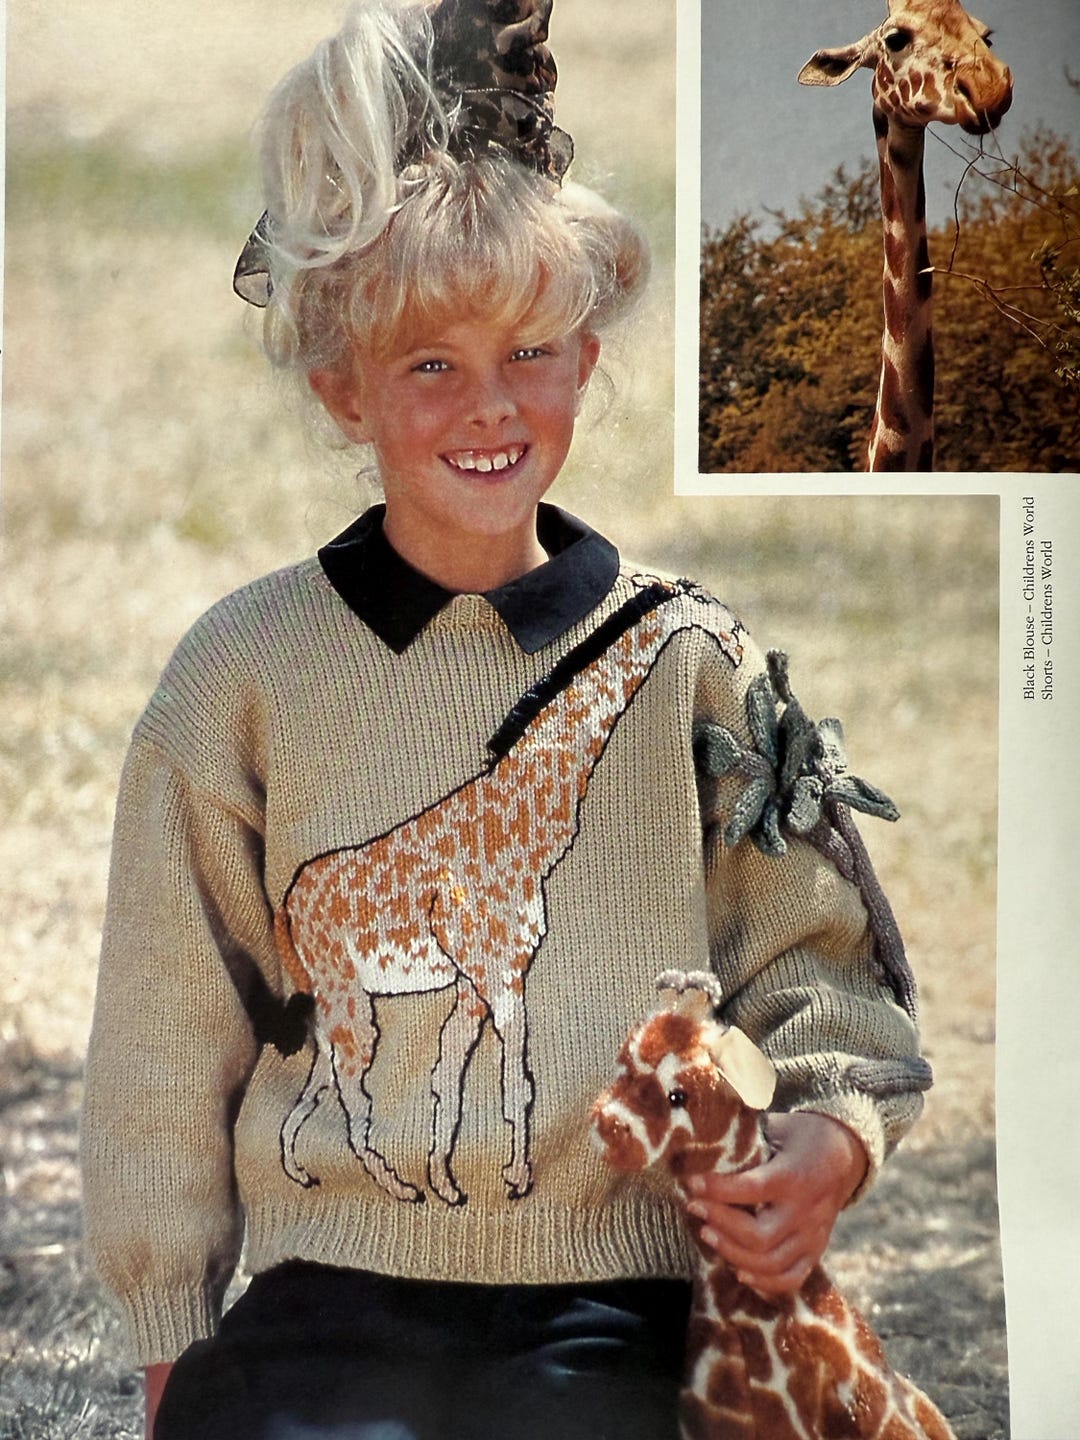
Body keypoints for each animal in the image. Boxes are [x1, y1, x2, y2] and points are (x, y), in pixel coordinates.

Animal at [274, 581, 745, 1208]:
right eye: (721, 617)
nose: (738, 651)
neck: (526, 831)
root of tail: (290, 901)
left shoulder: (478, 980)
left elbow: (448, 1080)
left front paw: (449, 1183)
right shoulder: (499, 971)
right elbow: (515, 1083)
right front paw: (514, 1179)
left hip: (335, 999)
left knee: (320, 1077)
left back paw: (304, 1170)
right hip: (345, 990)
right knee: (352, 1086)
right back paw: (395, 1186)